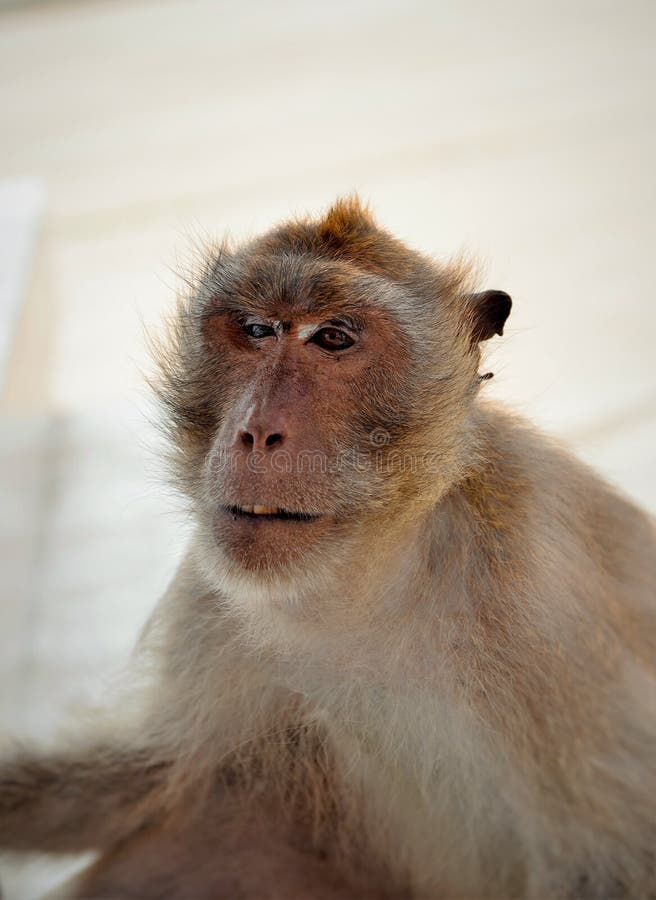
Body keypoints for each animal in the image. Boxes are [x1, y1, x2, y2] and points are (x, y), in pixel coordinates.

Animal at [1, 197, 655, 899]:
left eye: (334, 338)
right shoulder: (215, 587)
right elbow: (151, 773)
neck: (373, 579)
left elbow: (605, 863)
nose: (257, 431)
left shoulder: (541, 598)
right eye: (257, 329)